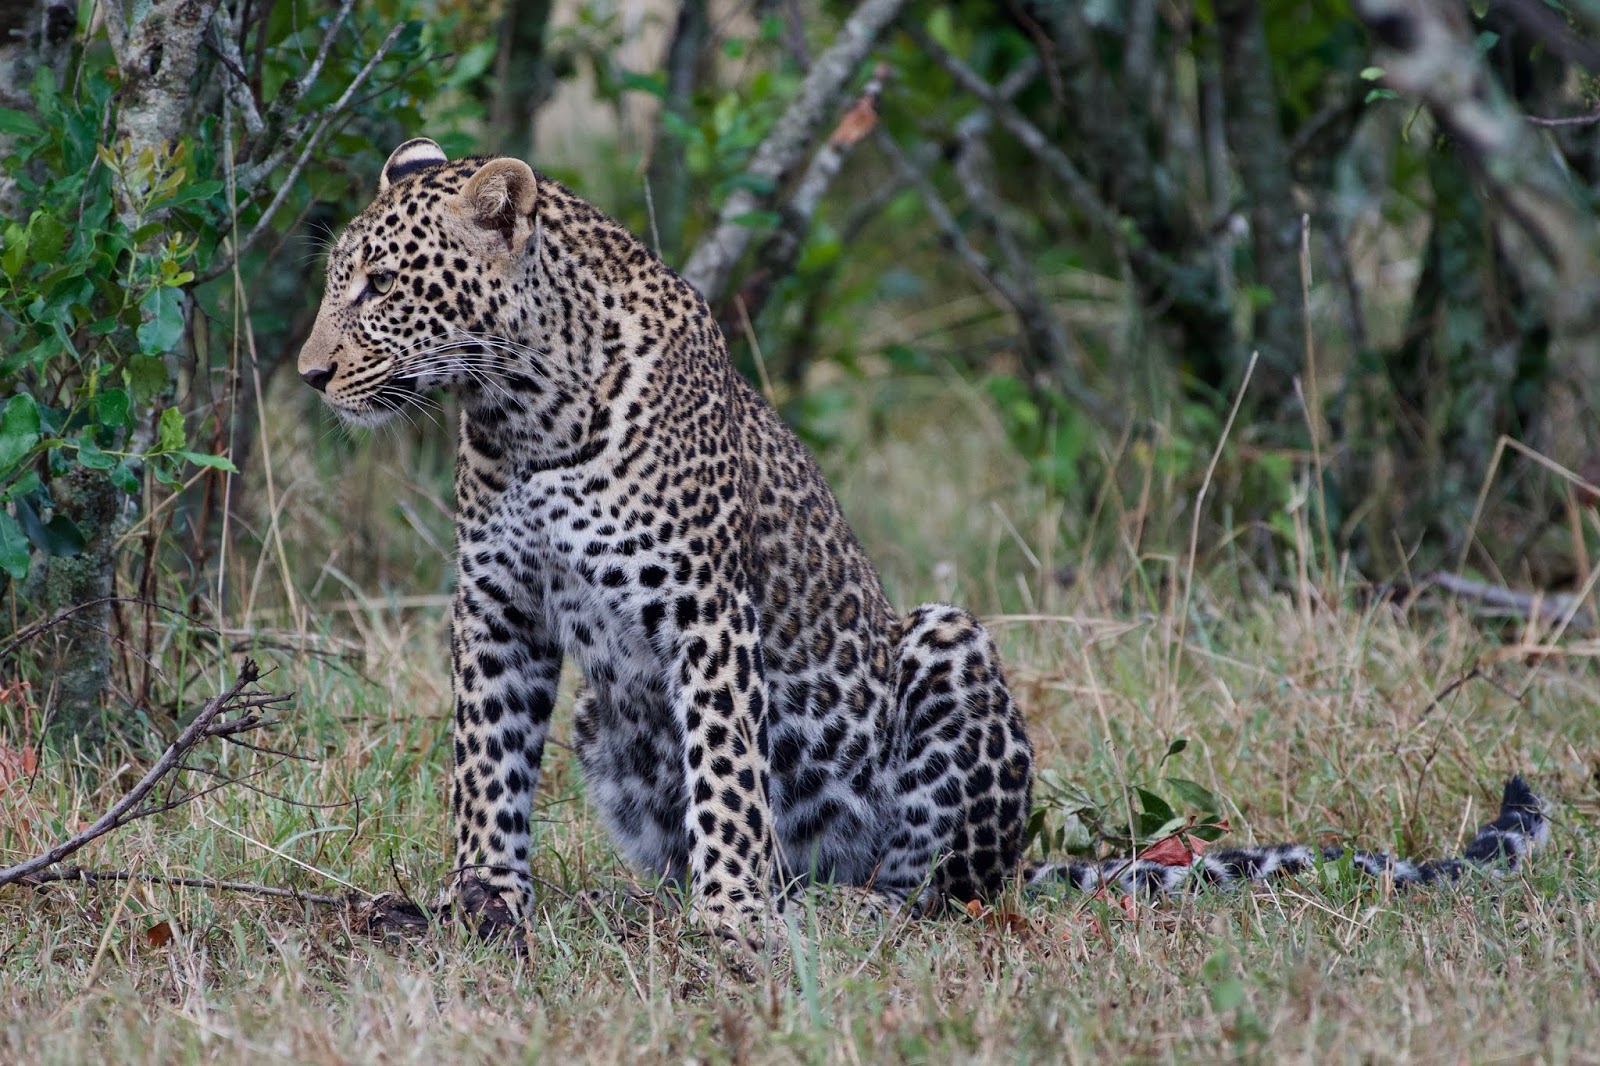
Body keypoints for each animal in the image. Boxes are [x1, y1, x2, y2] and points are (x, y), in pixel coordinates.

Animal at [298, 138, 1550, 945]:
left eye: (378, 286)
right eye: (338, 282)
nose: (309, 373)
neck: (520, 406)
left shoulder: (704, 609)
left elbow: (728, 772)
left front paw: (732, 918)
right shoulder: (498, 608)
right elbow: (484, 767)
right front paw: (480, 905)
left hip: (945, 648)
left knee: (939, 887)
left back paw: (833, 903)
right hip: (613, 726)